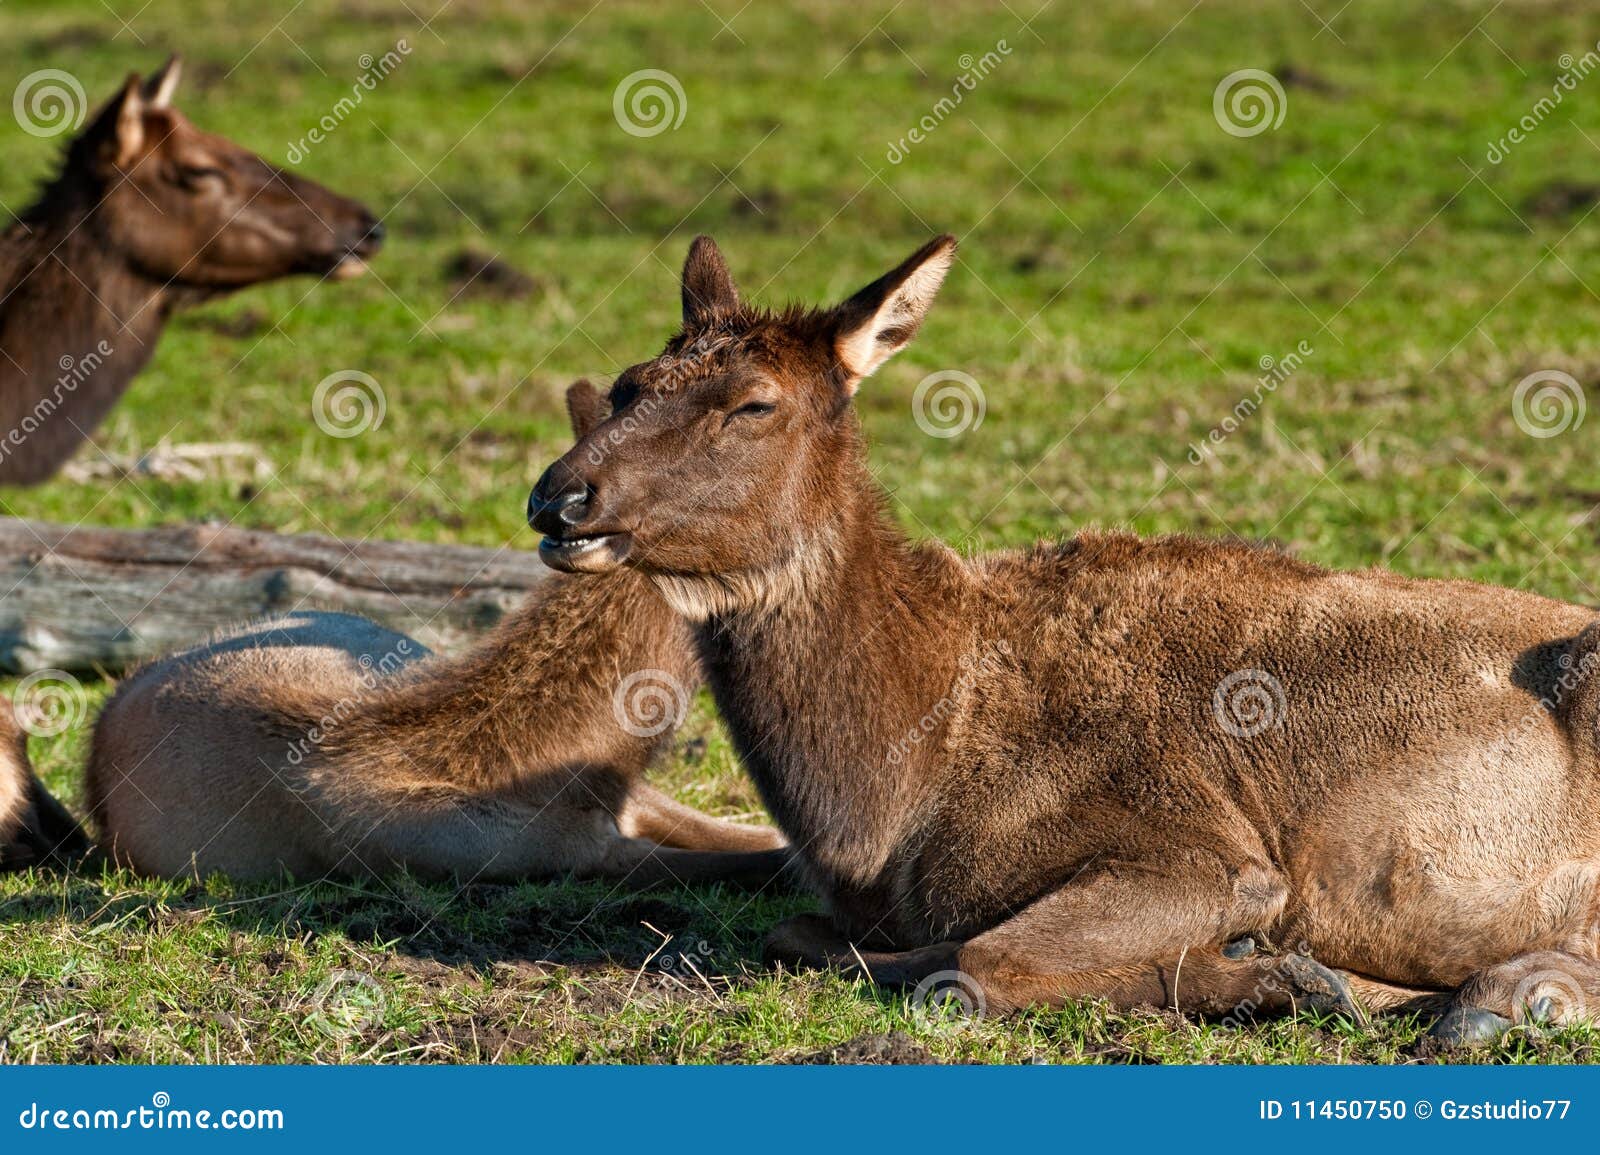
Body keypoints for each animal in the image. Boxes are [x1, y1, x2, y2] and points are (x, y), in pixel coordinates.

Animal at [527, 233, 1600, 1045]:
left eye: (755, 402)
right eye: (626, 384)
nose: (559, 495)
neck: (888, 797)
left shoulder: (1202, 850)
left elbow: (981, 959)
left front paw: (1290, 975)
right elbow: (804, 933)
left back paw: (1497, 999)